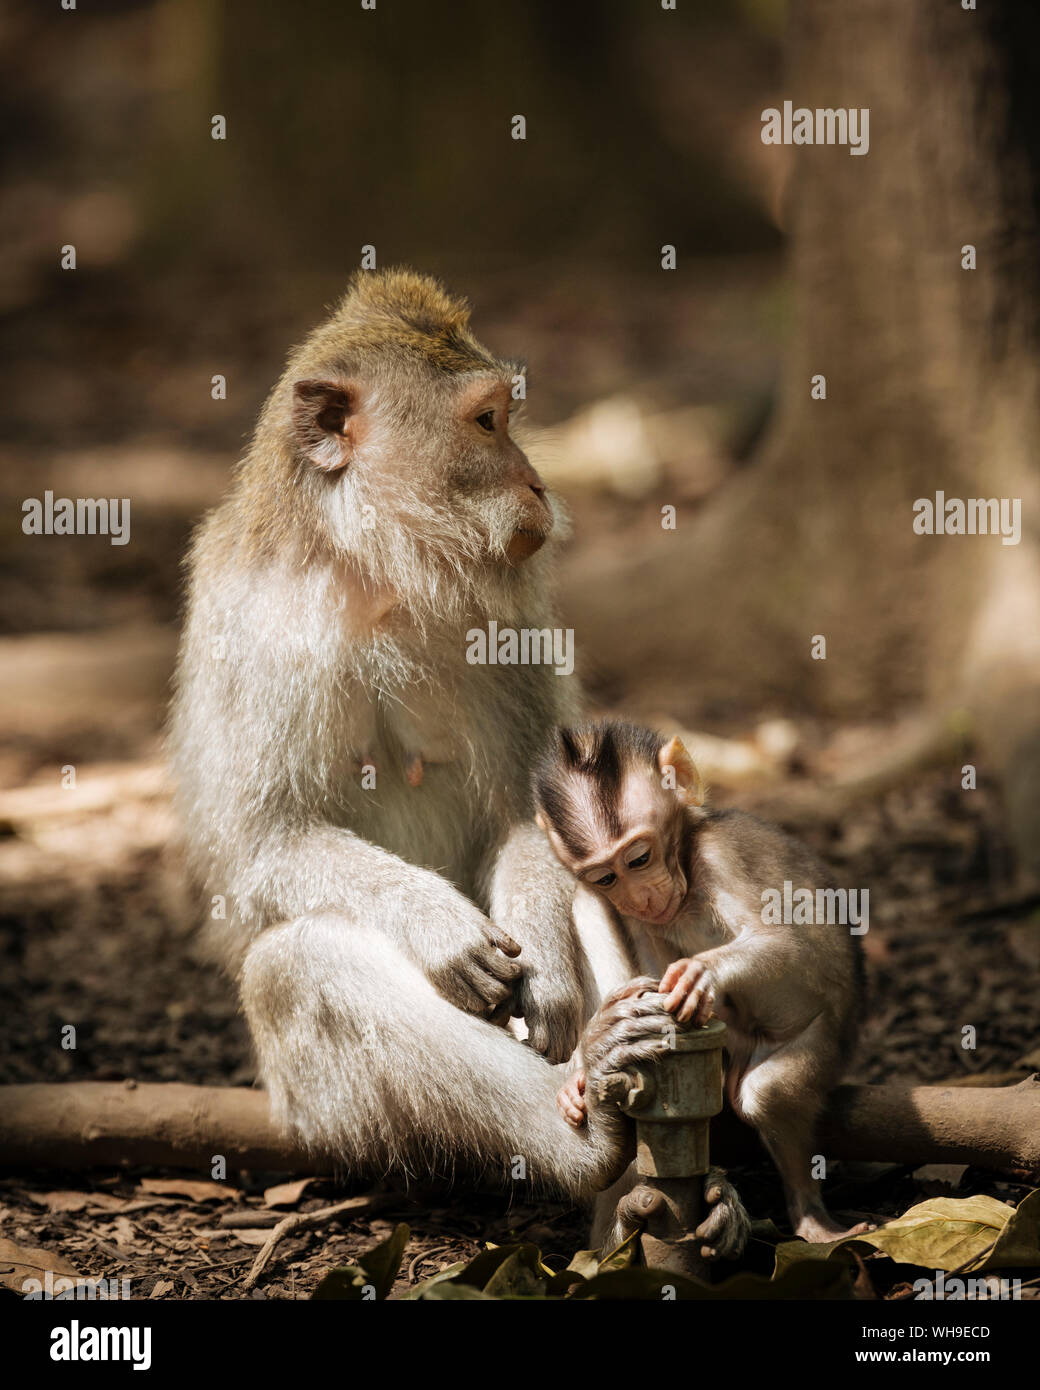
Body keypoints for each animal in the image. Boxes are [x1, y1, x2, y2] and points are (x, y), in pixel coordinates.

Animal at [168, 269, 748, 1253]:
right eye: (485, 423)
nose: (537, 480)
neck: (377, 572)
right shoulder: (255, 628)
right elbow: (258, 846)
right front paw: (434, 922)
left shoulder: (507, 617)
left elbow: (535, 809)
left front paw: (544, 969)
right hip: (315, 1109)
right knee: (297, 967)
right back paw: (588, 1138)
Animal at [532, 719, 871, 1244]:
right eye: (607, 877)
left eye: (639, 859)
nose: (641, 897)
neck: (686, 861)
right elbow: (645, 976)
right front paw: (585, 1065)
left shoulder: (719, 857)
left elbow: (789, 943)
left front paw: (703, 971)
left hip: (827, 1037)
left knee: (768, 1092)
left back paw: (812, 1219)